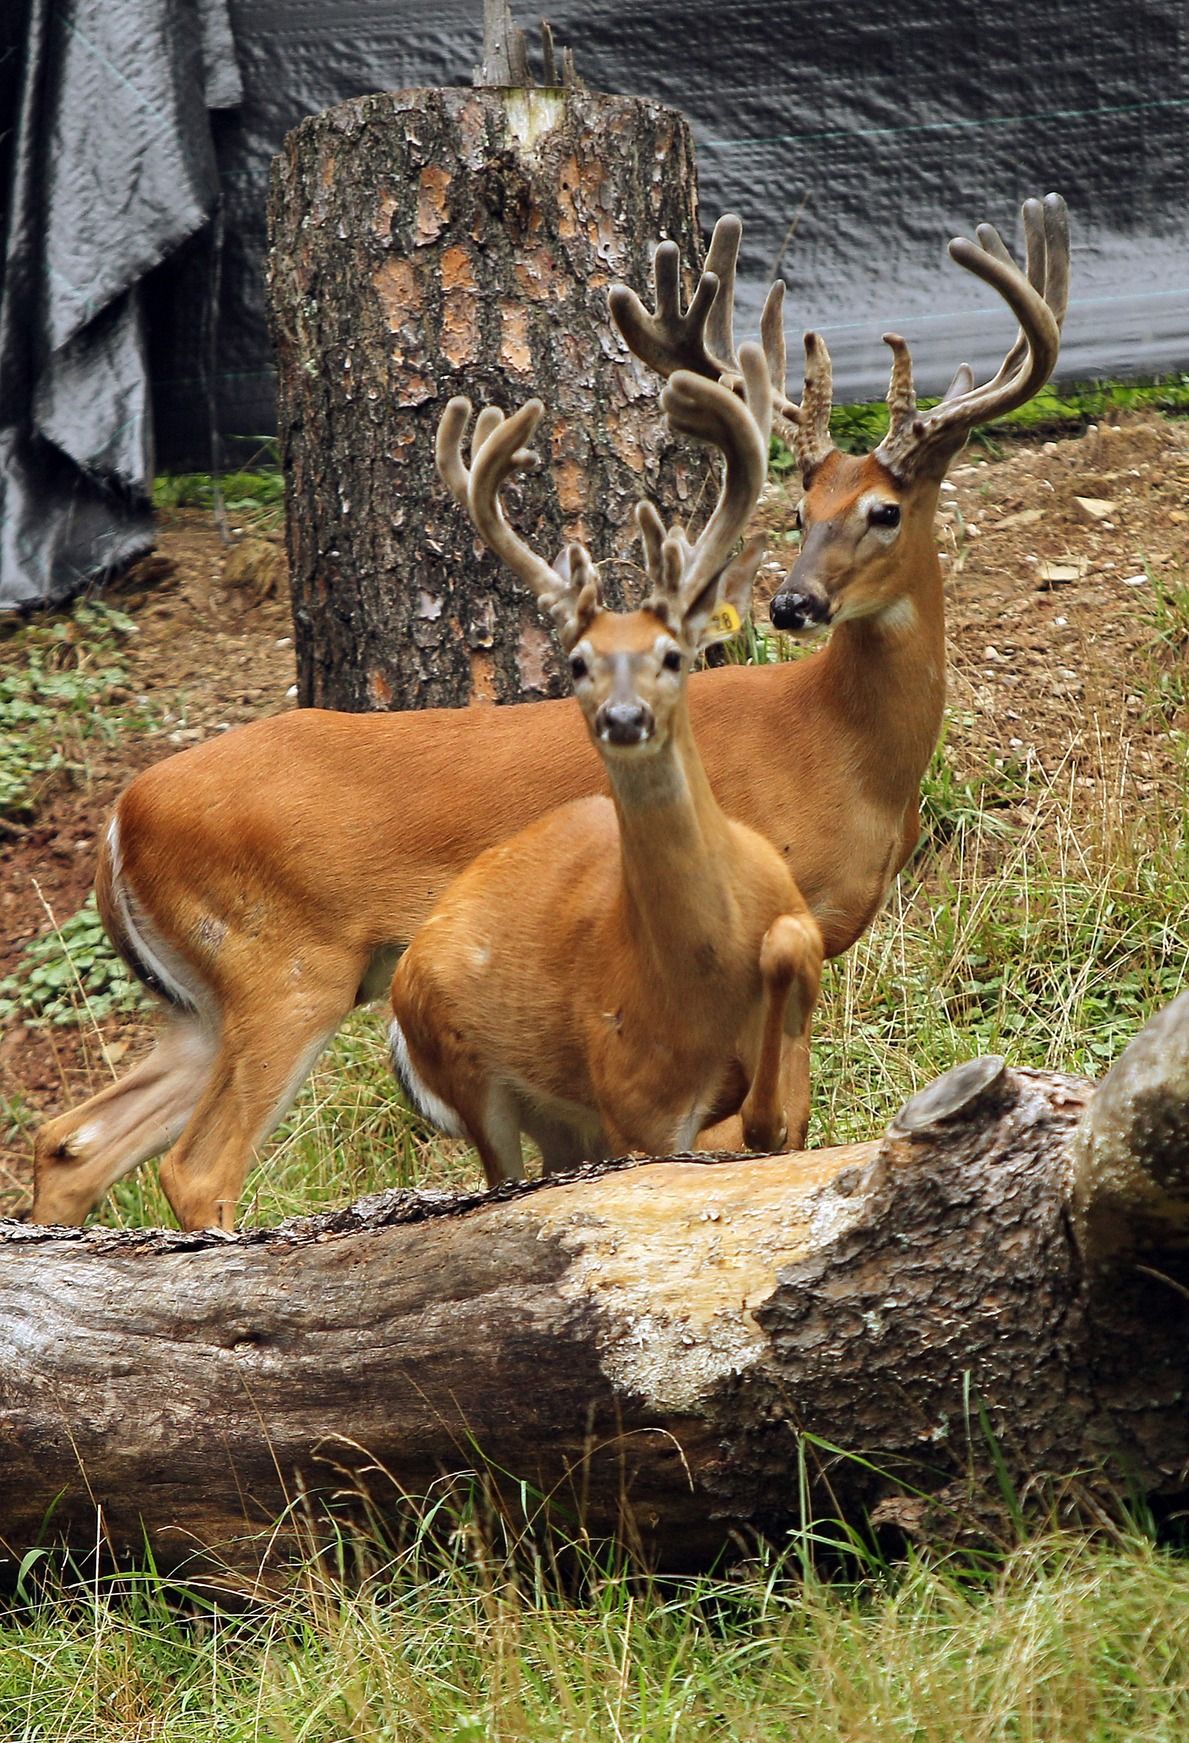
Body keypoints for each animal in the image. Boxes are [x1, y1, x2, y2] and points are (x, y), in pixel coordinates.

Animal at [390, 353, 823, 1184]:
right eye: (577, 662)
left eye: (673, 655)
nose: (624, 719)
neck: (704, 972)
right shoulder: (636, 1105)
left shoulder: (799, 988)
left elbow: (790, 962)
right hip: (471, 1075)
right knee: (505, 1178)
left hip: (569, 1123)